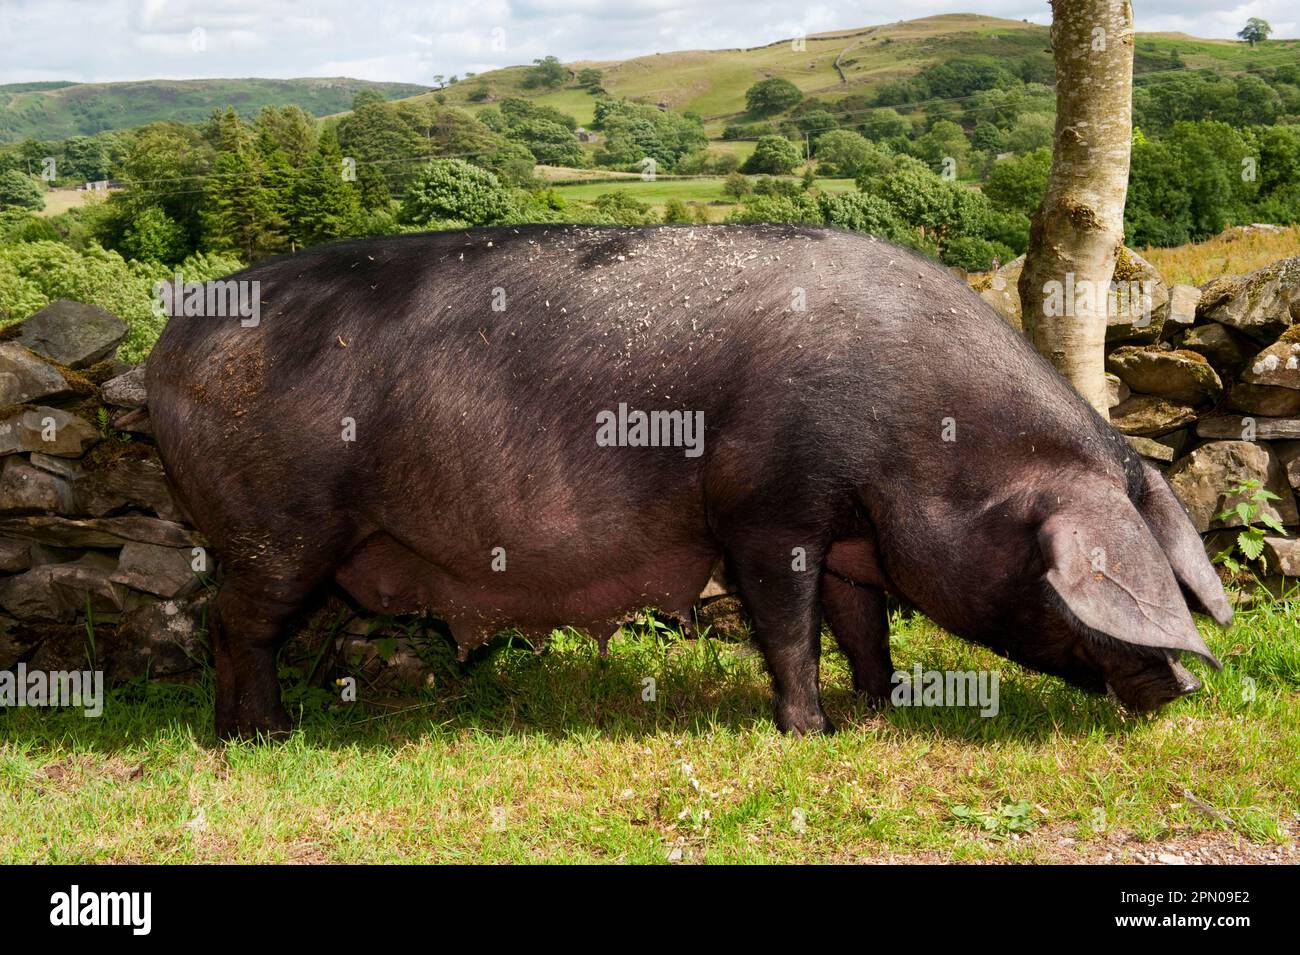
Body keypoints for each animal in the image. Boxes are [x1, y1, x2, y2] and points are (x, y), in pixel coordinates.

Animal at [146, 224, 1231, 739]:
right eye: (1063, 584)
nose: (1177, 685)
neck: (929, 440)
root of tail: (168, 342)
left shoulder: (850, 531)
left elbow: (861, 621)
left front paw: (882, 709)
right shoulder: (766, 508)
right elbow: (789, 626)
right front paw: (812, 732)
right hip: (277, 526)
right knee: (232, 626)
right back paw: (262, 735)